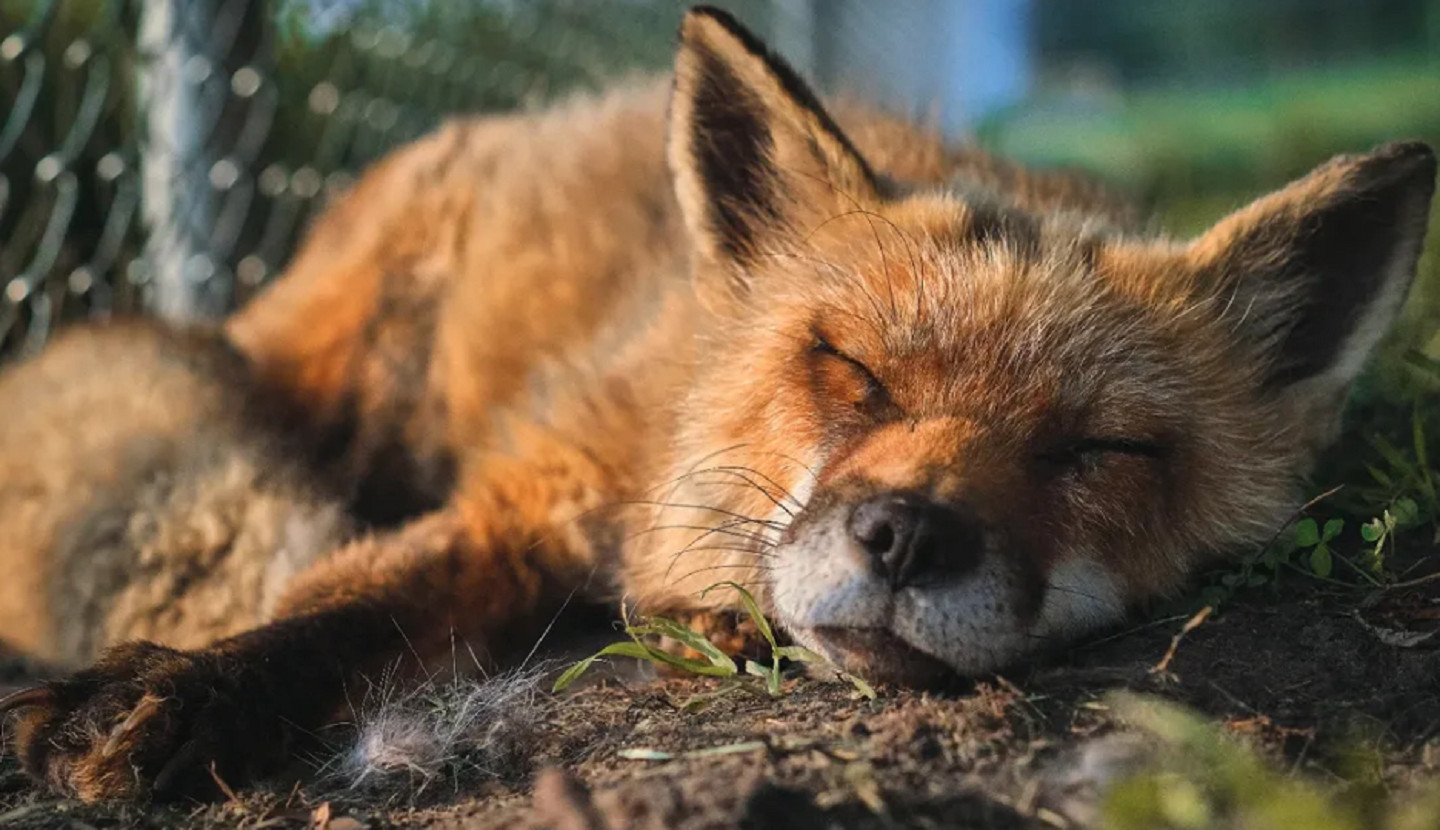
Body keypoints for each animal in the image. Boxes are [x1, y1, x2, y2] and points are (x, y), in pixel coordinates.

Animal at [0, 5, 1434, 804]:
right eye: (852, 368)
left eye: (1100, 445)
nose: (907, 536)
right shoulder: (526, 494)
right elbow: (341, 609)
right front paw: (176, 689)